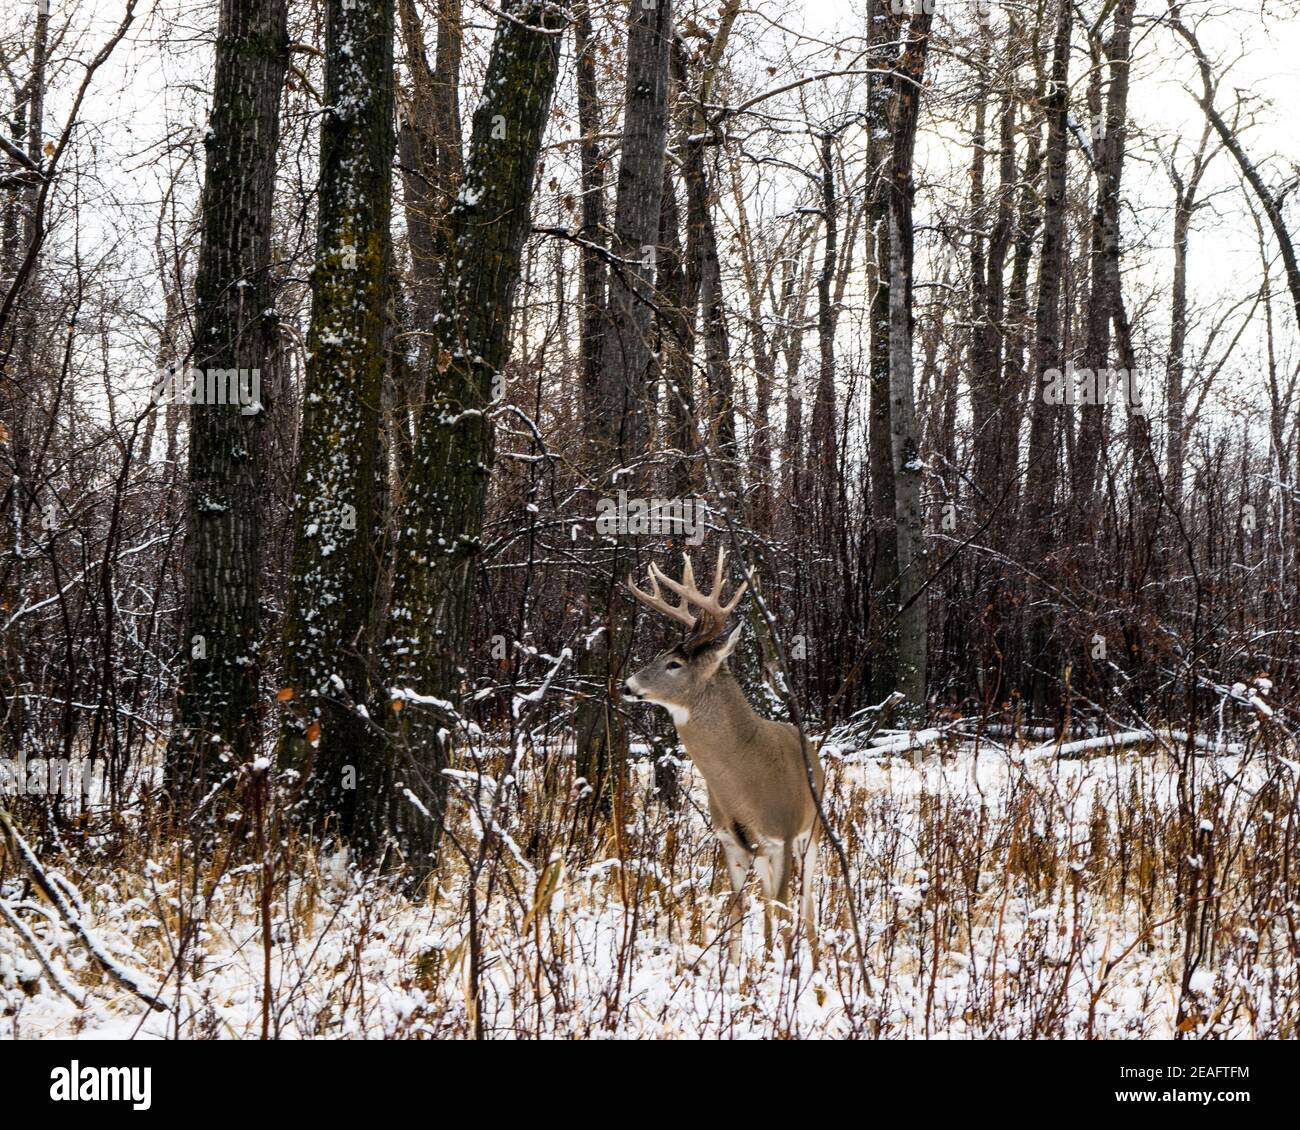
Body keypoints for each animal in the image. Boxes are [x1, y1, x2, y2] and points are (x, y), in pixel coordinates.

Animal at [621, 547, 823, 960]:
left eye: (674, 663)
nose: (628, 685)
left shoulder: (784, 835)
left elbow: (783, 908)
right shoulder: (732, 843)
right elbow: (736, 912)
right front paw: (734, 971)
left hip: (813, 832)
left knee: (807, 900)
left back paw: (813, 954)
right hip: (764, 854)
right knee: (768, 905)